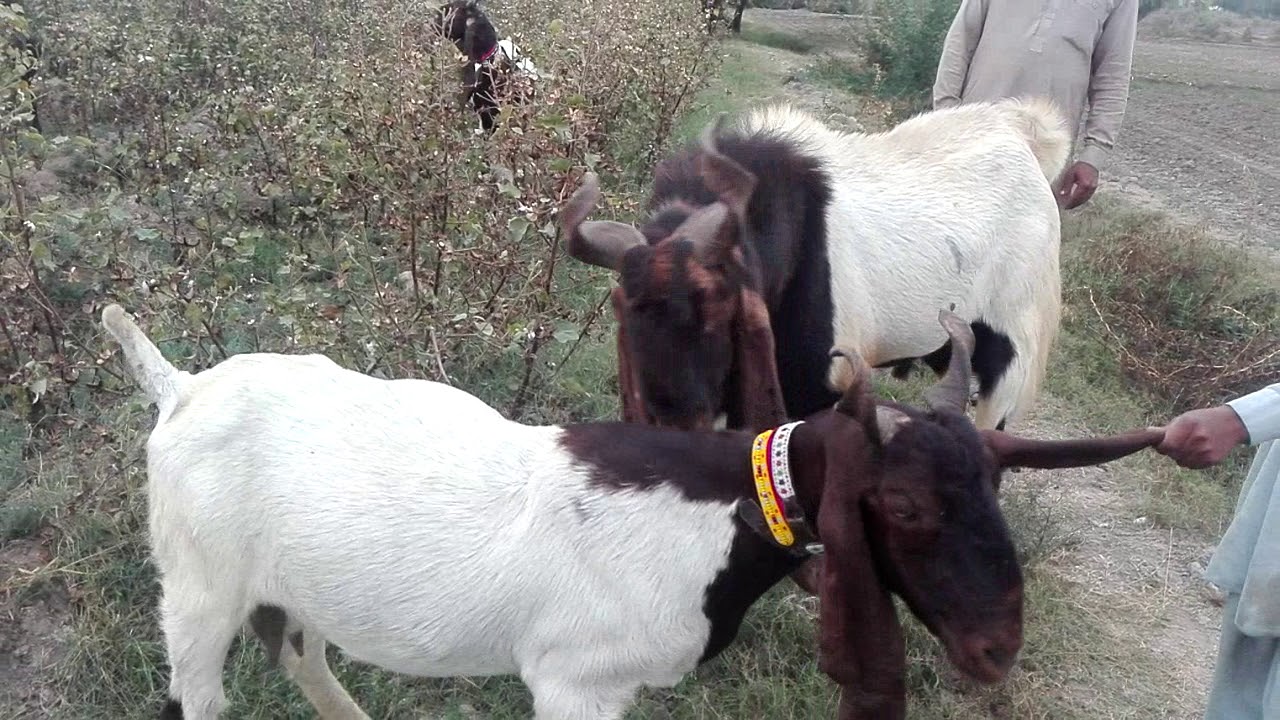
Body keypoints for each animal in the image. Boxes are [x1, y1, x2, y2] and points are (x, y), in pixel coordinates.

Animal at [102, 302, 1162, 720]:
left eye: (994, 483)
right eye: (899, 503)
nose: (996, 650)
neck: (721, 511)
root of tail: (178, 386)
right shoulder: (577, 683)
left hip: (293, 588)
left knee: (301, 653)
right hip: (196, 587)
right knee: (202, 689)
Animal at [561, 98, 1071, 436]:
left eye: (723, 307)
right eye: (621, 312)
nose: (672, 422)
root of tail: (1027, 138)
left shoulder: (817, 385)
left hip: (1013, 350)